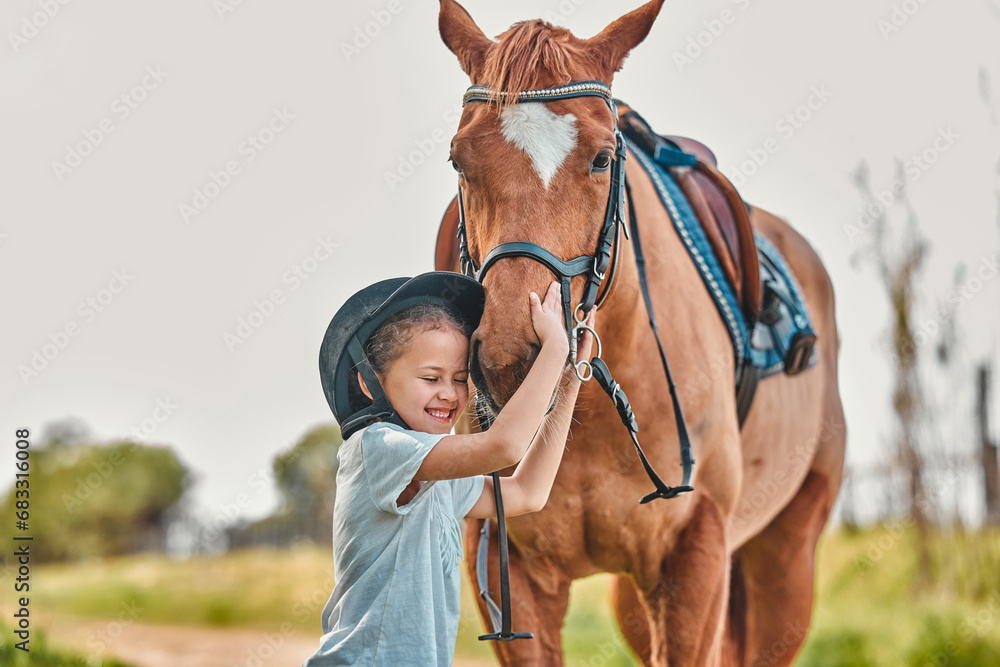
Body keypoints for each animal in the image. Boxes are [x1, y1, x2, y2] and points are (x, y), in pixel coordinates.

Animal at [433, 1, 847, 665]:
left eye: (603, 158)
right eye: (458, 160)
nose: (510, 362)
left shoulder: (695, 554)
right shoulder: (506, 564)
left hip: (784, 567)